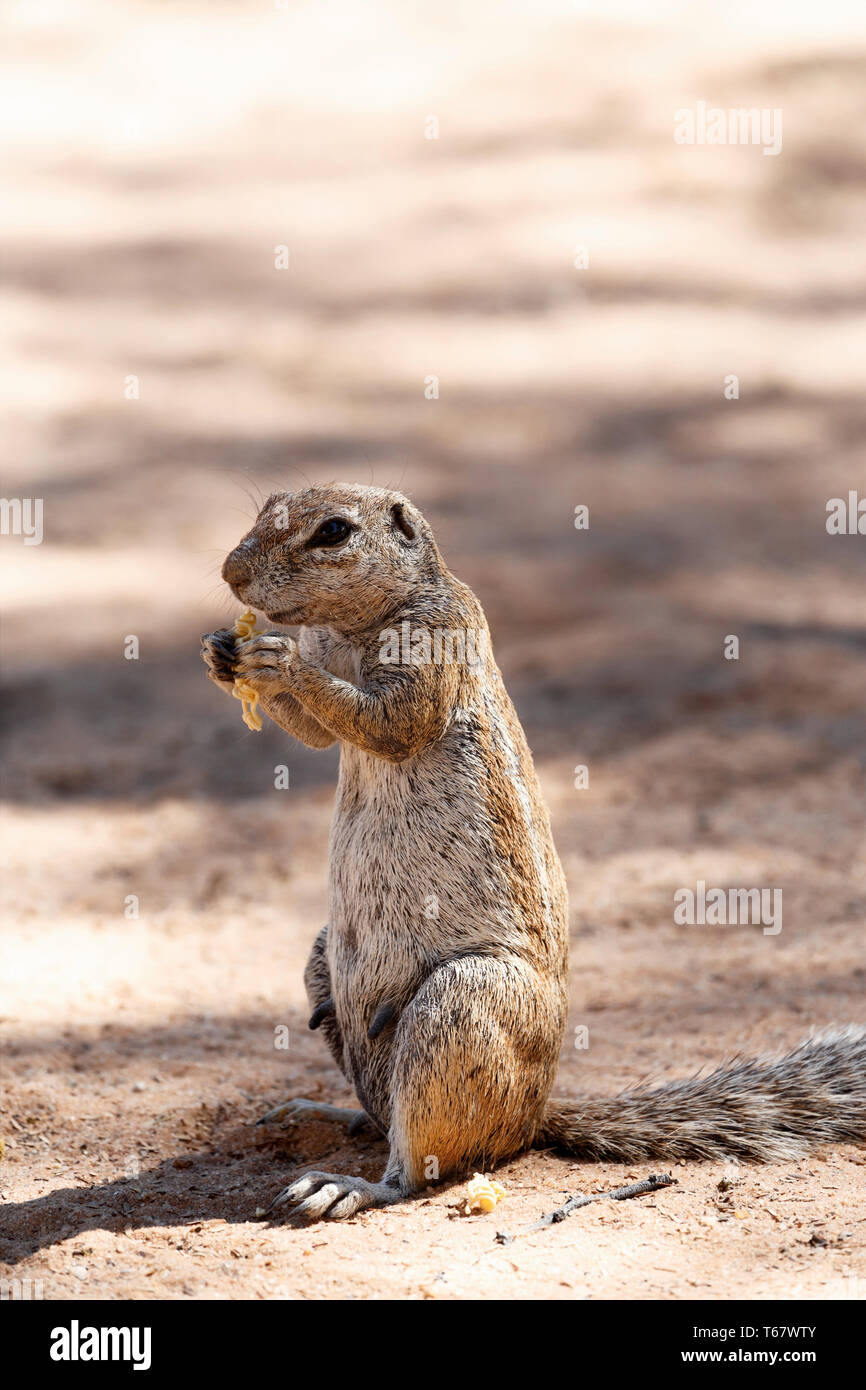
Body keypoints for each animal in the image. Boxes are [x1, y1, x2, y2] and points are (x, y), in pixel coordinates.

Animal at [201, 483, 866, 1223]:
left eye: (334, 532)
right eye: (269, 504)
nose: (231, 574)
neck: (350, 628)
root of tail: (535, 1117)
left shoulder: (437, 641)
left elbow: (393, 723)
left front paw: (277, 661)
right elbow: (318, 735)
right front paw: (223, 655)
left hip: (463, 1001)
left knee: (423, 1164)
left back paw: (350, 1183)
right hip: (326, 961)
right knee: (381, 1109)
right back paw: (325, 1113)